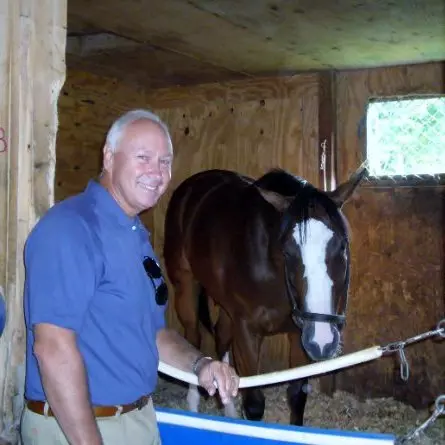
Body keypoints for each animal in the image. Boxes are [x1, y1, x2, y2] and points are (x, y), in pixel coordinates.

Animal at [162, 166, 364, 424]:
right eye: (287, 250)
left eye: (342, 246)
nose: (323, 341)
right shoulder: (247, 333)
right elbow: (254, 404)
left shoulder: (298, 336)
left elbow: (297, 396)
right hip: (186, 286)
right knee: (193, 336)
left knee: (221, 335)